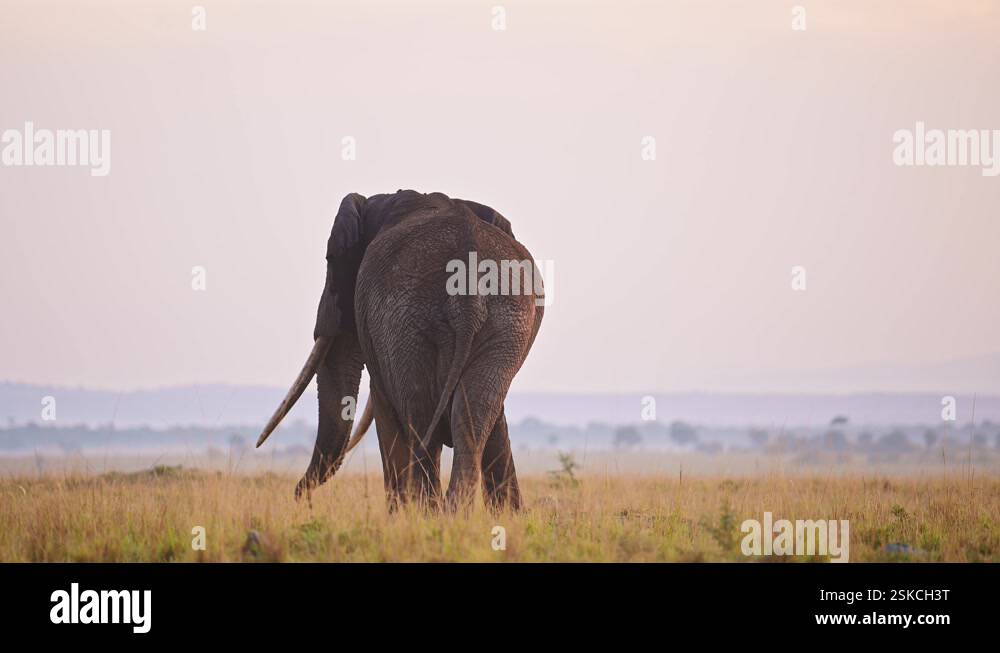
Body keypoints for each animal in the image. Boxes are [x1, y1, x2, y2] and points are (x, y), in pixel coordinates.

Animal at [256, 190, 544, 511]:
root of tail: (467, 293)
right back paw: (449, 515)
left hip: (407, 323)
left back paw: (431, 514)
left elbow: (383, 404)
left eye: (331, 259)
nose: (299, 497)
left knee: (421, 420)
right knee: (469, 422)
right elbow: (494, 425)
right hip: (500, 326)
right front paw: (510, 516)